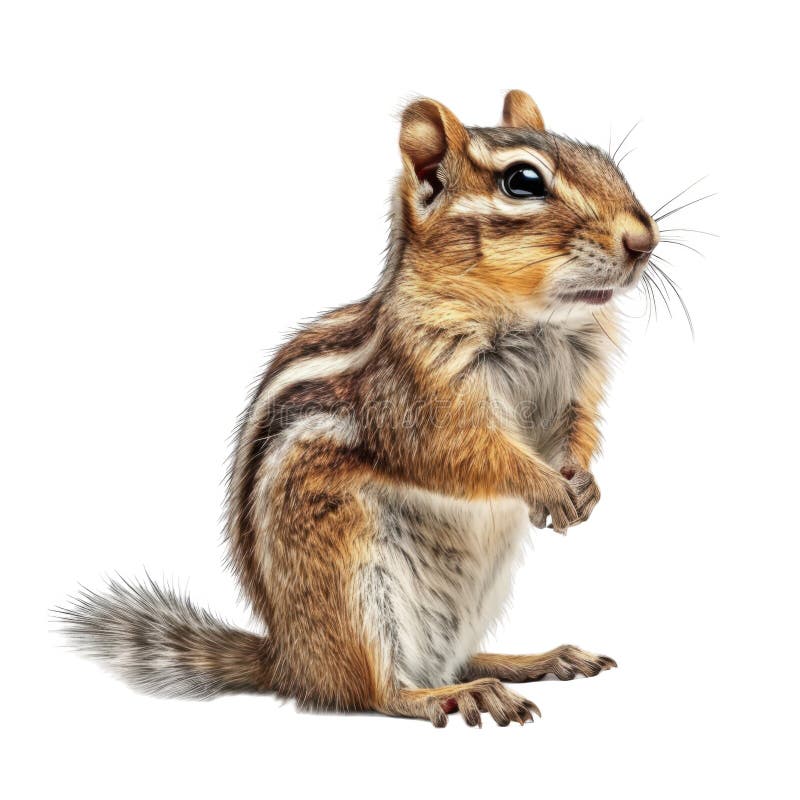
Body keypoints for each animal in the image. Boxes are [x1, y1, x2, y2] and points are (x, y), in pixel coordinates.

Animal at [58, 90, 660, 727]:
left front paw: (584, 484)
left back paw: (534, 660)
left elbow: (575, 432)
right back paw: (458, 693)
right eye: (523, 181)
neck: (536, 321)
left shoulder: (575, 389)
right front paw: (544, 485)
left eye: (603, 159)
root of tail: (289, 661)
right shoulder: (414, 398)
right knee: (379, 691)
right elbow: (460, 452)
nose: (644, 241)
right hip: (351, 585)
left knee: (452, 660)